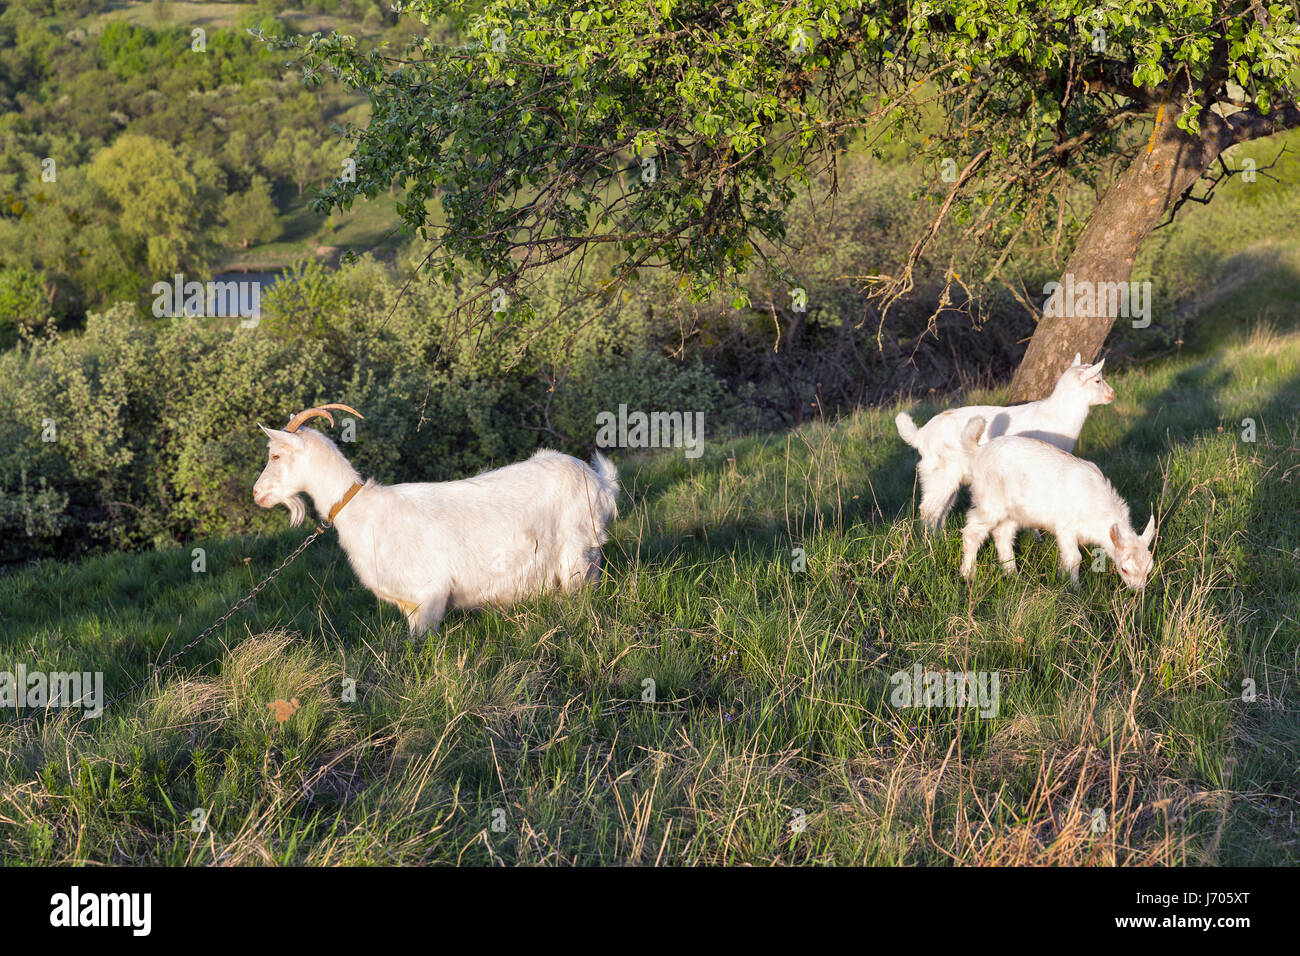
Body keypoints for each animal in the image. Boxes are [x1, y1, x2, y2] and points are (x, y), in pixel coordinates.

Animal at [252, 404, 619, 636]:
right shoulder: (410, 606)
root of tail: (599, 480)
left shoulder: (430, 596)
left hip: (576, 557)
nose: (257, 494)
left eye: (276, 455)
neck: (363, 510)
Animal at [895, 353, 1114, 533]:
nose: (1112, 394)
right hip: (940, 473)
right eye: (1097, 380)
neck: (1056, 415)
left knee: (942, 509)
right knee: (928, 509)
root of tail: (921, 434)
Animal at [957, 416, 1155, 590]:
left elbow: (1066, 558)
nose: (1137, 591)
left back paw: (1012, 574)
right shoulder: (1066, 527)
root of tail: (979, 451)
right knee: (972, 533)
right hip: (989, 502)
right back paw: (969, 574)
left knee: (1003, 536)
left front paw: (1062, 578)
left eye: (1149, 569)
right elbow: (1074, 558)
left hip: (1013, 512)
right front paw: (1075, 589)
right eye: (1124, 569)